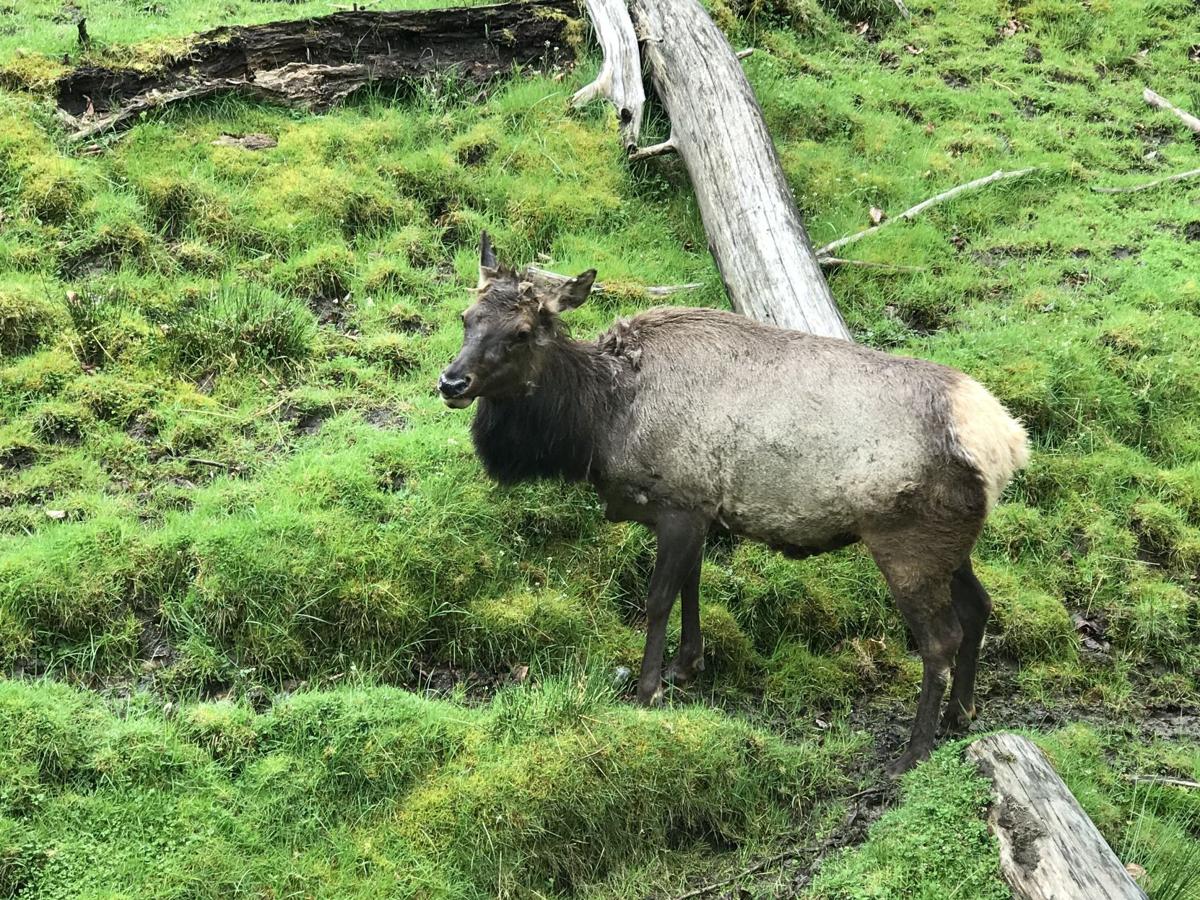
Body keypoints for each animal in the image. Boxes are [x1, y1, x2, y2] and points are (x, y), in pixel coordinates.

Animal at [438, 234, 1029, 774]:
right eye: (467, 317)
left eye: (520, 333)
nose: (451, 381)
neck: (600, 424)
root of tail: (1005, 442)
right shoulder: (698, 511)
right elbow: (692, 585)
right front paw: (686, 667)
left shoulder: (679, 503)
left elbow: (658, 599)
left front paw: (648, 689)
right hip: (951, 542)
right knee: (980, 605)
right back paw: (961, 713)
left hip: (907, 542)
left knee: (940, 639)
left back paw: (915, 751)